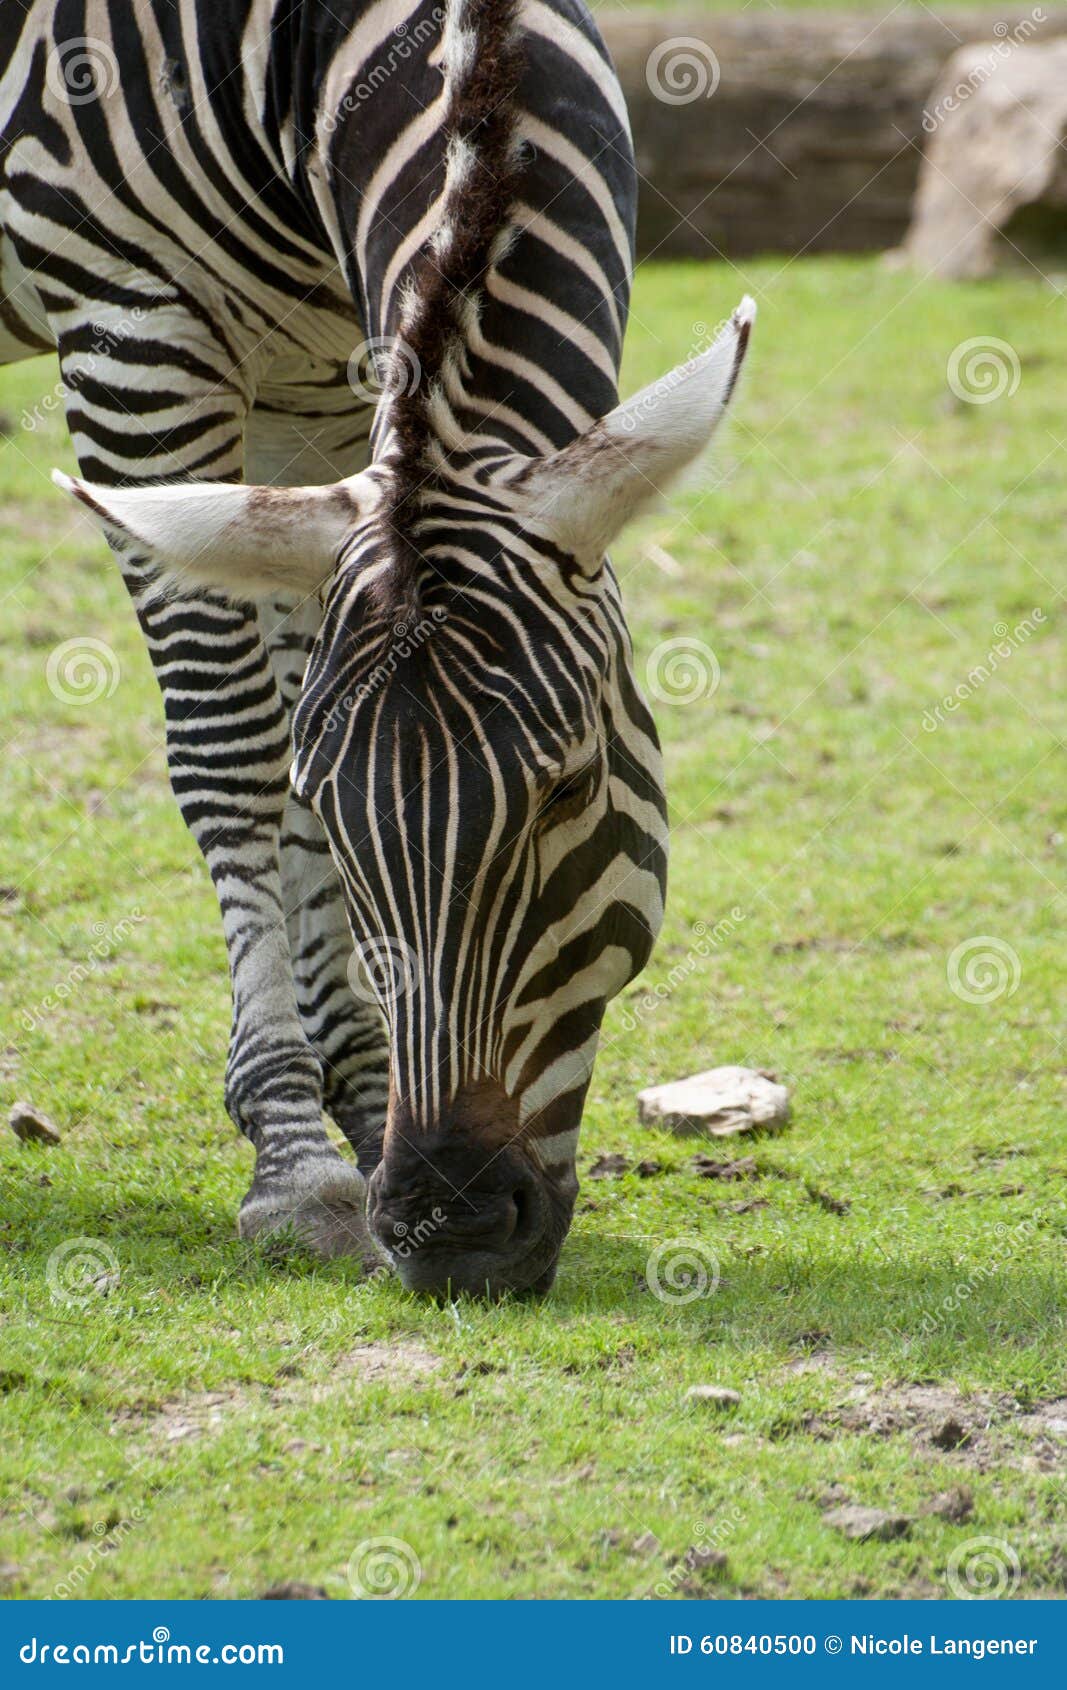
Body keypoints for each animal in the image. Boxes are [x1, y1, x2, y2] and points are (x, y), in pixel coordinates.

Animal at [4, 0, 753, 1296]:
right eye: (330, 797)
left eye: (567, 790)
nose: (450, 1228)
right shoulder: (131, 335)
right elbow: (230, 752)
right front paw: (294, 1161)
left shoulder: (319, 384)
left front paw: (357, 1099)